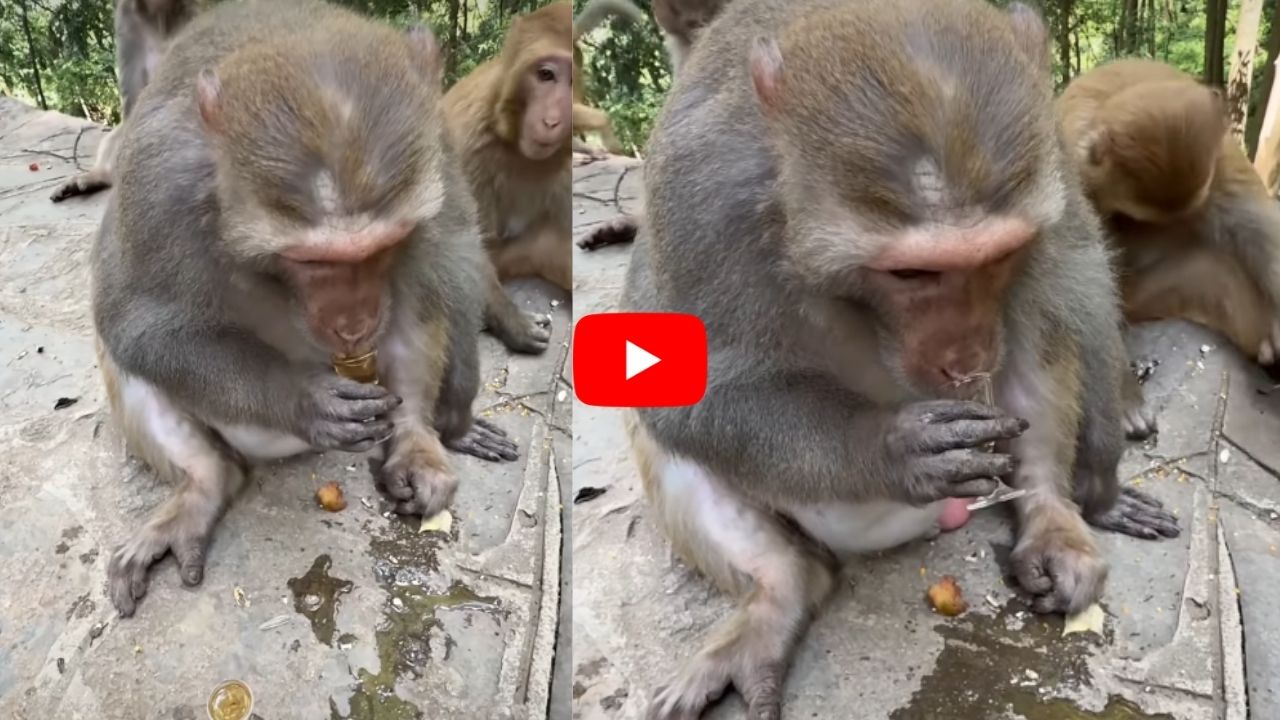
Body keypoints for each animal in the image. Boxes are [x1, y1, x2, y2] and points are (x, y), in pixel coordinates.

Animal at [92, 0, 518, 617]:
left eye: (380, 248)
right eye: (312, 260)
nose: (354, 323)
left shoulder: (436, 144)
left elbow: (454, 251)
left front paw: (454, 417)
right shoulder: (155, 185)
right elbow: (130, 319)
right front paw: (302, 398)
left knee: (422, 283)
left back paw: (414, 441)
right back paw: (206, 483)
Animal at [620, 1, 1180, 716]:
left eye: (998, 255)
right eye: (912, 273)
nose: (966, 353)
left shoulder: (1049, 158)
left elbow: (1073, 290)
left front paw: (1080, 495)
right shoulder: (698, 202)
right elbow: (682, 387)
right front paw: (891, 448)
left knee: (1038, 324)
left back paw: (1049, 513)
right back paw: (780, 591)